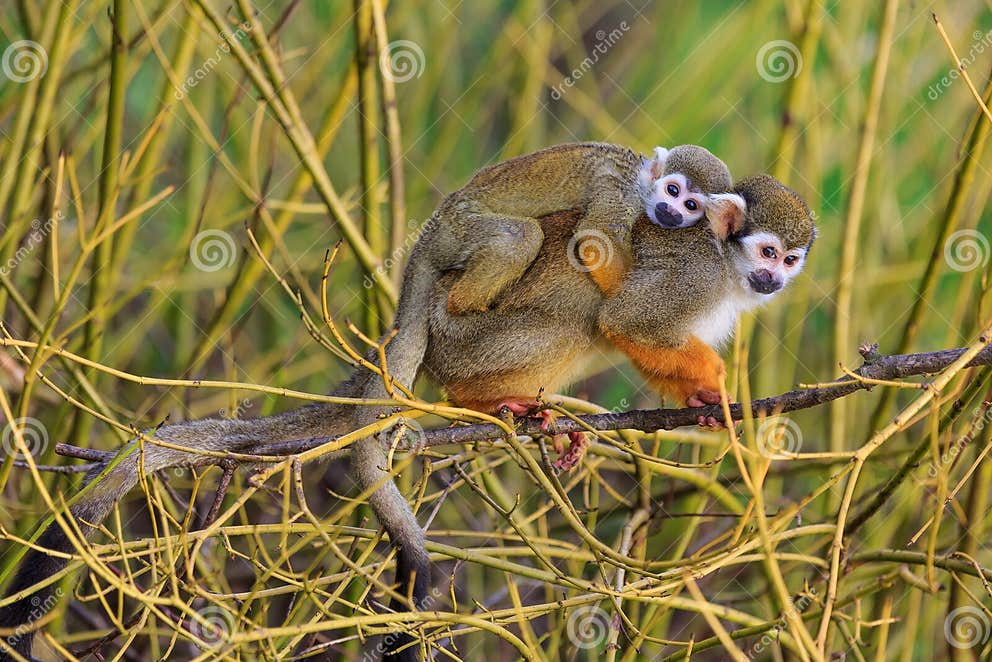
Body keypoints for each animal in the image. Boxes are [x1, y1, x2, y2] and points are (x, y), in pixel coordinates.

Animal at [0, 162, 812, 662]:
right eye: (766, 251)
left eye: (790, 259)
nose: (774, 279)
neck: (724, 270)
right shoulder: (687, 274)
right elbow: (625, 319)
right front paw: (711, 391)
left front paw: (704, 407)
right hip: (470, 334)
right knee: (579, 314)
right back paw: (489, 401)